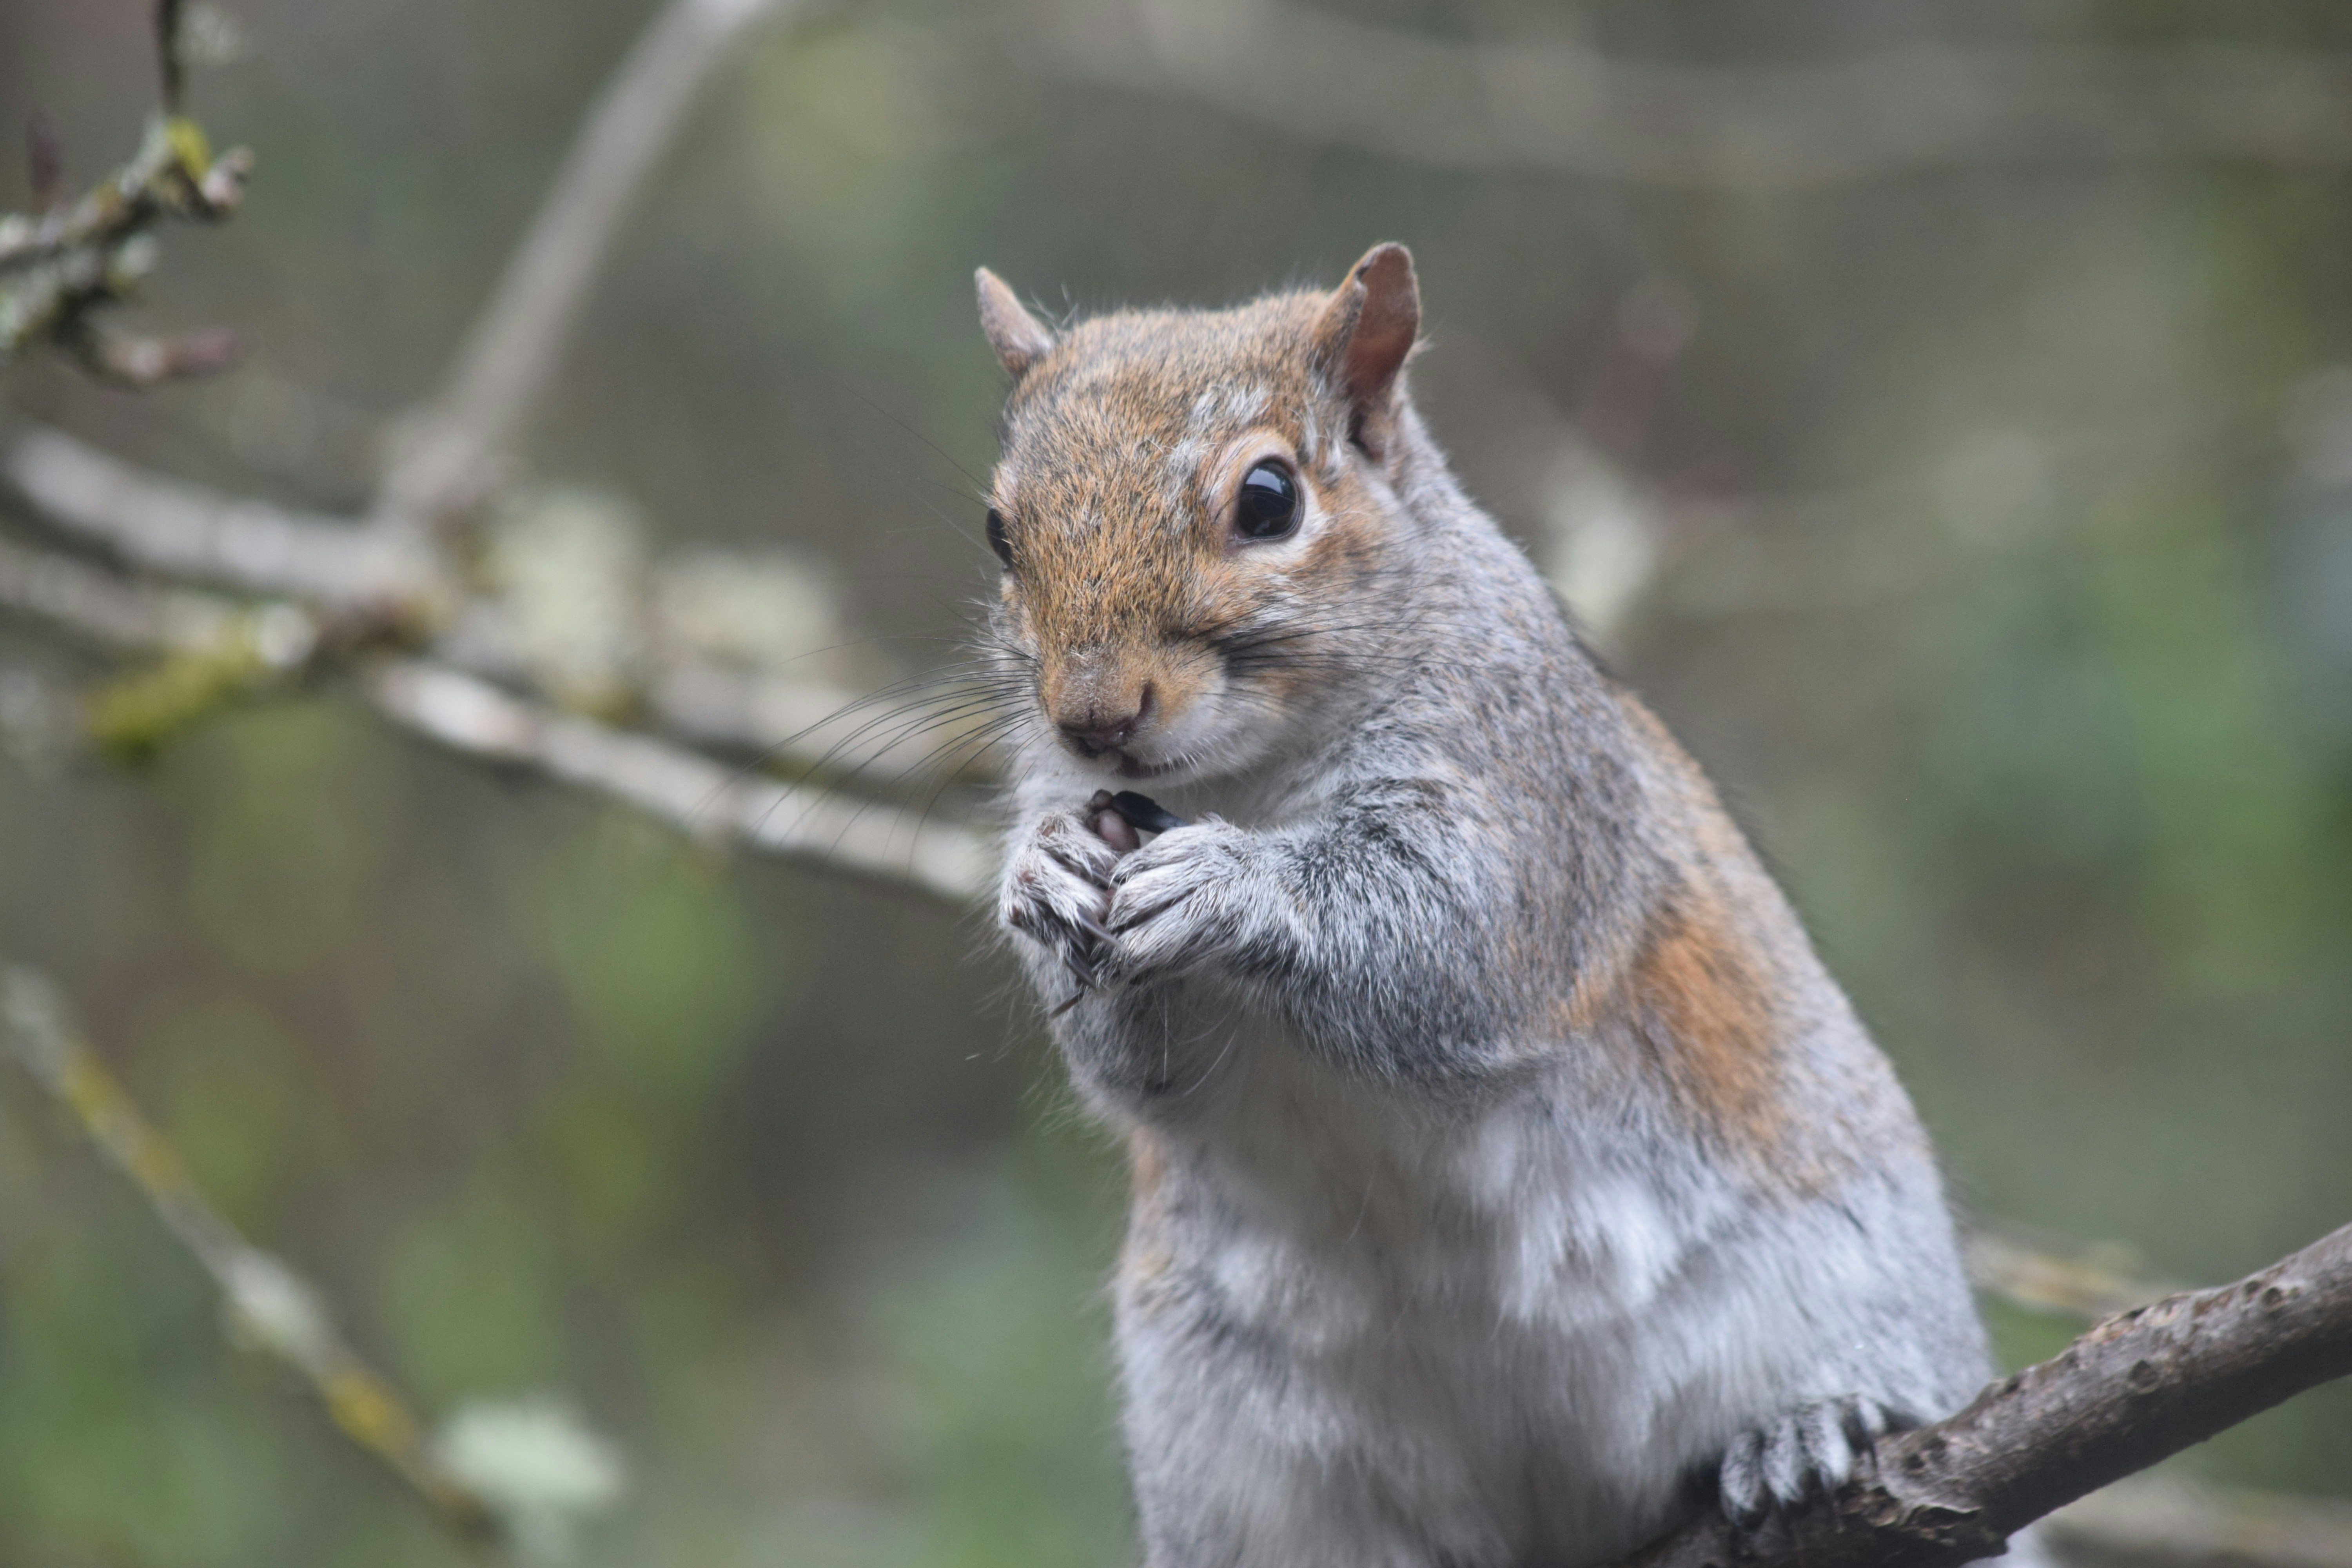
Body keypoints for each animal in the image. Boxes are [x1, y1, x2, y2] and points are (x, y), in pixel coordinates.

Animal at [976, 244, 2029, 1568]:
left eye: (1268, 499)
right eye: (998, 530)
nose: (1094, 718)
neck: (1241, 778)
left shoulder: (1529, 796)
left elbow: (1451, 946)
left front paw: (1234, 884)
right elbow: (1144, 1075)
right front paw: (1043, 872)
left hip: (1845, 1272)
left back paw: (1809, 1424)